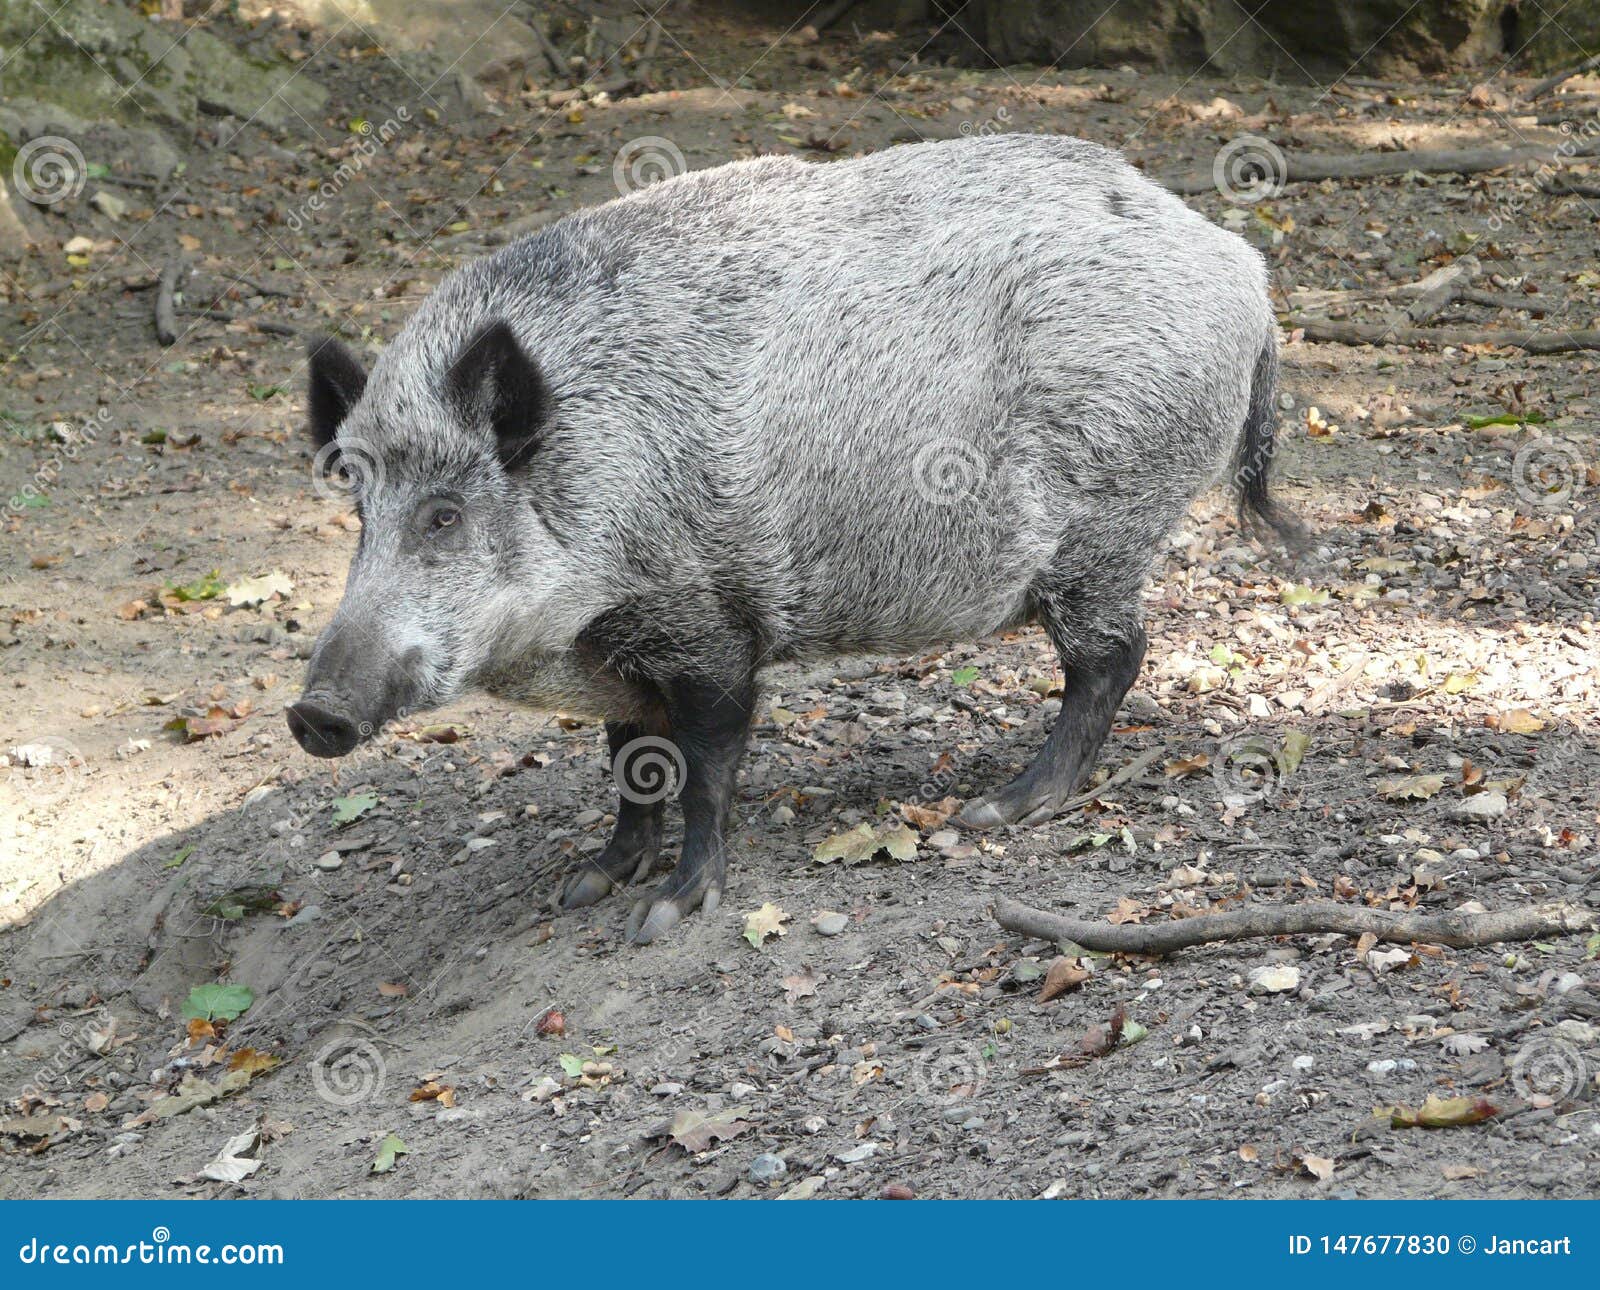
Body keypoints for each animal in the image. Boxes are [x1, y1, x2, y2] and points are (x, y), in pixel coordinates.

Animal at [287, 133, 1294, 944]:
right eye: (359, 511)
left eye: (444, 514)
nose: (312, 713)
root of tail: (1243, 266)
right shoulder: (623, 653)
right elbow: (627, 763)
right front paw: (588, 887)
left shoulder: (707, 624)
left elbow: (704, 766)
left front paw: (666, 916)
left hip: (1106, 526)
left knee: (1113, 656)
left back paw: (997, 810)